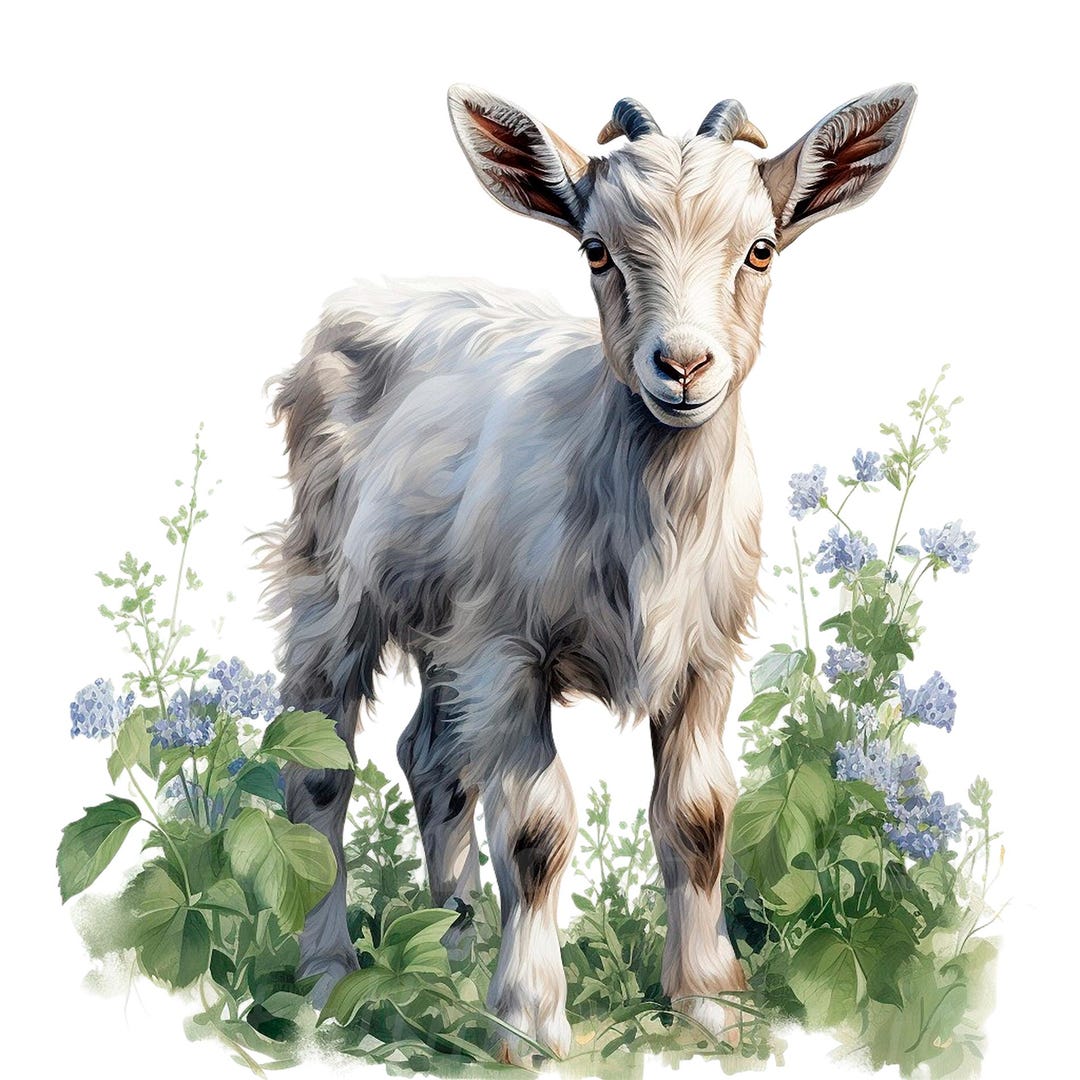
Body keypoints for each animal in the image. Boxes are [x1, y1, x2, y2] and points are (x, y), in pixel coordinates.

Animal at [266, 83, 916, 1062]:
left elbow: (698, 817)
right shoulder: (513, 652)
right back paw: (329, 967)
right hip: (335, 585)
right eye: (597, 250)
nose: (682, 365)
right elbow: (536, 830)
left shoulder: (705, 657)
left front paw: (709, 1003)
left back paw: (452, 948)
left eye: (760, 250)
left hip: (451, 624)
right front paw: (530, 1023)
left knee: (434, 762)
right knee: (322, 765)